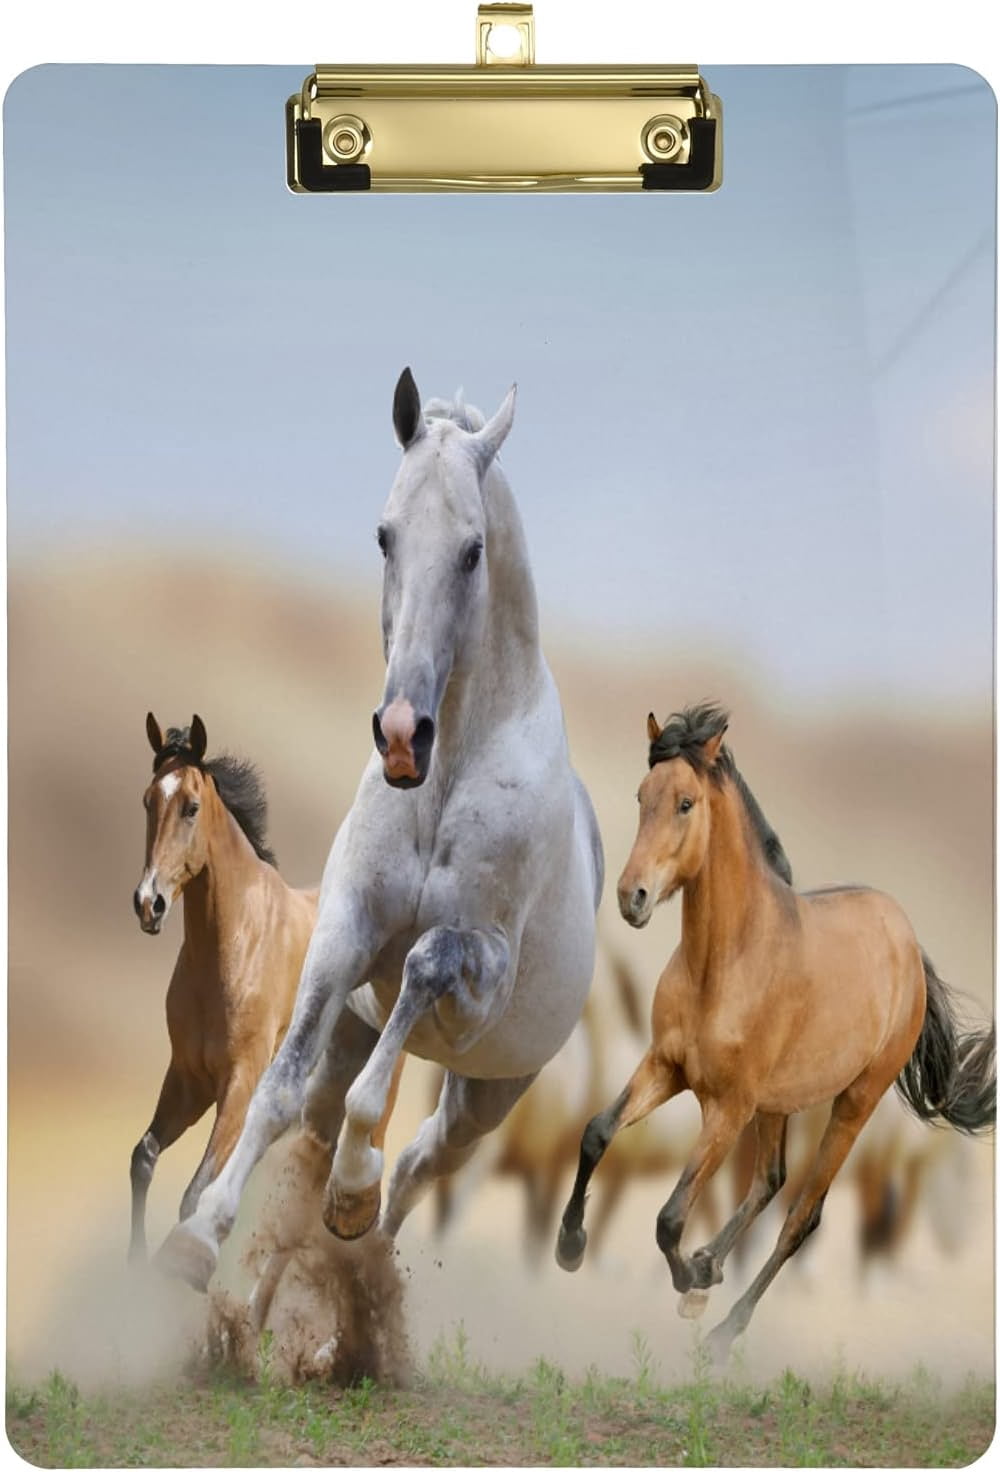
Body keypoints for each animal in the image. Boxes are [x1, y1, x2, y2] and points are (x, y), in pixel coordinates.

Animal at [155, 367, 604, 1293]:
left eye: (473, 550)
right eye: (384, 535)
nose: (401, 736)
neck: (446, 778)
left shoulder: (477, 974)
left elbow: (423, 974)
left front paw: (350, 1190)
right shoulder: (344, 933)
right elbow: (278, 1090)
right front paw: (199, 1236)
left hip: (489, 1092)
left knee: (422, 1161)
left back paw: (362, 1242)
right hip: (362, 1032)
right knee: (328, 1119)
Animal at [556, 702, 994, 1358]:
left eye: (685, 802)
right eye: (641, 796)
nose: (632, 897)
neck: (724, 961)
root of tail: (907, 941)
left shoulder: (727, 1108)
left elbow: (669, 1216)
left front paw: (687, 1275)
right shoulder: (665, 1067)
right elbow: (596, 1133)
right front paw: (570, 1247)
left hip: (851, 1105)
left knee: (801, 1215)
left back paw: (720, 1328)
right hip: (778, 1104)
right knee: (770, 1179)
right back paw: (709, 1271)